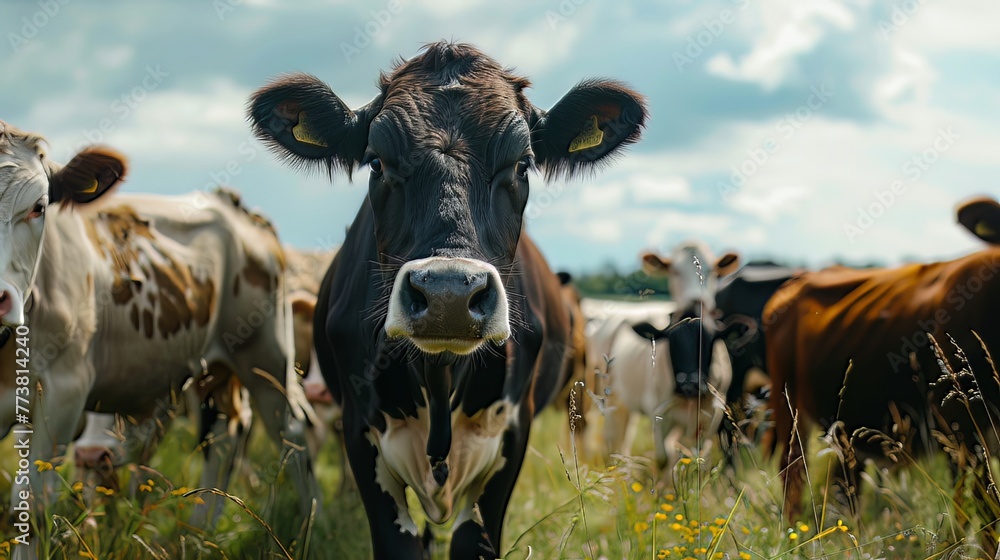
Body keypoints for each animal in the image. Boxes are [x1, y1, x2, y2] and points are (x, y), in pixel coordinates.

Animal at [0, 123, 318, 555]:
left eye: (38, 207)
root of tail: (230, 204)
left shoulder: (65, 388)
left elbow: (29, 505)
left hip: (266, 356)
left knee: (291, 431)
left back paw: (311, 525)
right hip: (213, 370)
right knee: (227, 431)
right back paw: (201, 534)